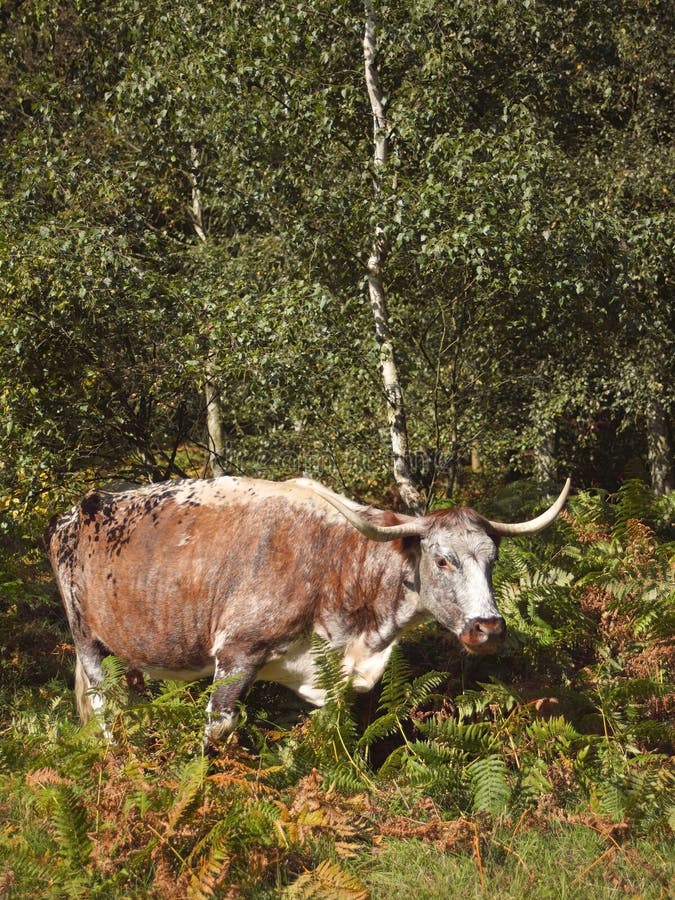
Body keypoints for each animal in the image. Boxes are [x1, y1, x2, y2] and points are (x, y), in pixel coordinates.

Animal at [44, 475, 570, 744]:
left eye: (493, 558)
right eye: (443, 559)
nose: (489, 628)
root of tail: (78, 510)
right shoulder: (236, 653)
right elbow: (219, 731)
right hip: (86, 640)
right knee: (102, 706)